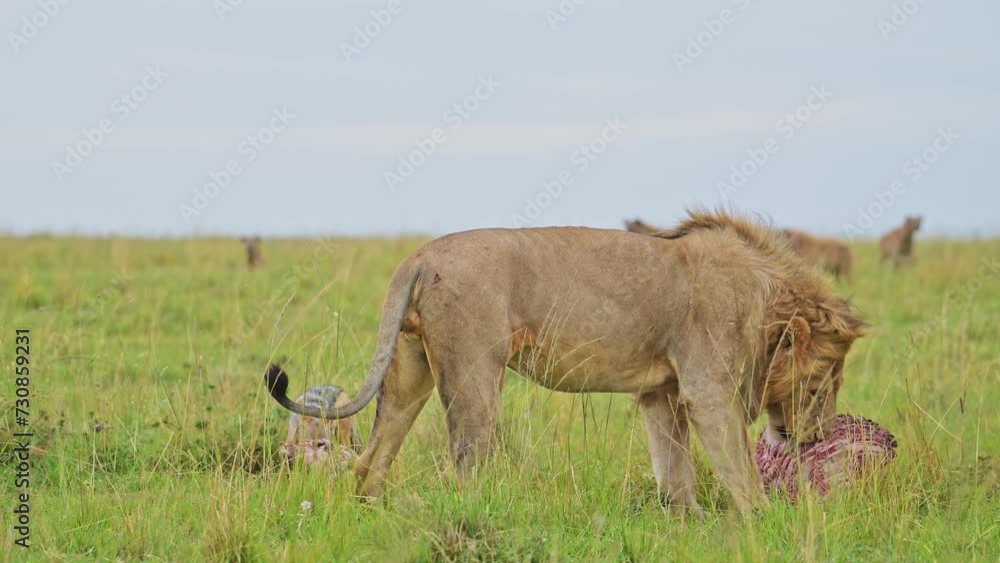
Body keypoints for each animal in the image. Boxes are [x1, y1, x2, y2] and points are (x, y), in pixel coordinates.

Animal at [264, 210, 867, 513]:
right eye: (820, 385)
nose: (815, 437)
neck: (762, 300)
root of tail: (421, 253)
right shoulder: (708, 390)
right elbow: (740, 472)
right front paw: (763, 528)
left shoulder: (661, 393)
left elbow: (676, 473)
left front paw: (687, 526)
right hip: (475, 370)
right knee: (468, 460)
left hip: (411, 369)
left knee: (371, 459)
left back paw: (371, 514)